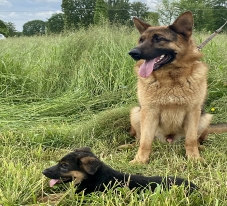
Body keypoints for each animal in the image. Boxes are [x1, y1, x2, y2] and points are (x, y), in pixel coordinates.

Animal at [127, 11, 227, 163]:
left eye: (159, 39)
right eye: (141, 40)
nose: (132, 53)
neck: (170, 80)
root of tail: (169, 140)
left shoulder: (193, 112)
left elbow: (190, 140)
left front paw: (194, 158)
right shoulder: (149, 112)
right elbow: (145, 142)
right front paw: (139, 161)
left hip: (204, 118)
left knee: (197, 139)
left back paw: (200, 147)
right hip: (136, 113)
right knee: (139, 139)